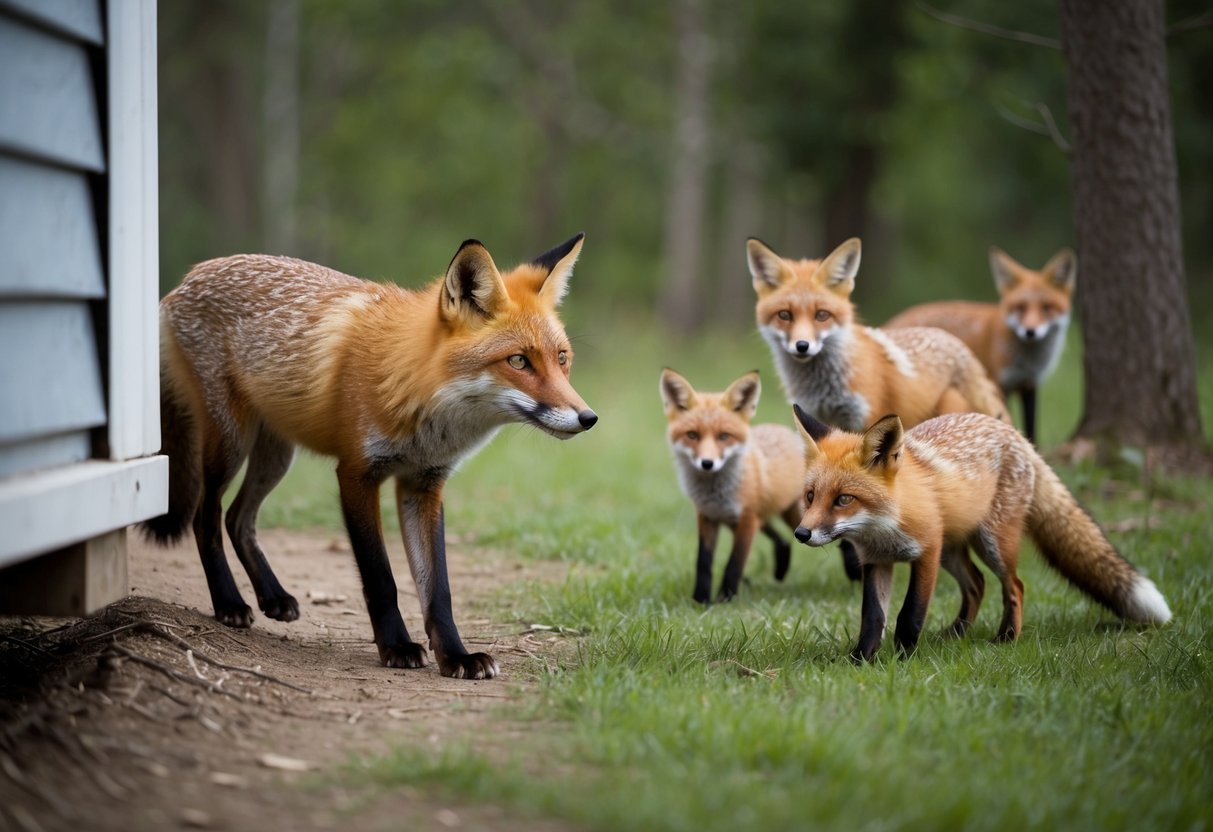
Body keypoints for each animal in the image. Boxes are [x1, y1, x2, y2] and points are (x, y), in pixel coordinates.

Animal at [142, 234, 597, 680]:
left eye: (561, 359)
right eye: (518, 360)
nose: (588, 418)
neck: (416, 390)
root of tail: (190, 276)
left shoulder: (424, 484)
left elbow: (438, 590)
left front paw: (456, 656)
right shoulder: (357, 474)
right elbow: (381, 577)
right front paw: (396, 647)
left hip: (277, 455)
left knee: (239, 518)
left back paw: (272, 596)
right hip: (230, 444)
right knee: (207, 516)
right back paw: (229, 603)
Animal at [660, 369, 805, 603]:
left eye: (724, 436)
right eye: (692, 435)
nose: (707, 463)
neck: (714, 495)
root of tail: (787, 431)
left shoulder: (747, 520)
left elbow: (734, 563)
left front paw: (725, 598)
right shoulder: (708, 517)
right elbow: (703, 562)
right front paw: (700, 599)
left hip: (799, 517)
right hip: (750, 519)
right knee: (782, 540)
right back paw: (781, 569)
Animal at [748, 236, 1010, 582]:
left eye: (821, 315)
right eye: (785, 315)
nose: (802, 346)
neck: (826, 384)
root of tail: (959, 347)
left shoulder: (866, 423)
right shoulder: (823, 427)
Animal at [790, 405, 1171, 662]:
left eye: (843, 499)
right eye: (810, 496)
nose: (801, 533)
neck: (882, 527)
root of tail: (1017, 435)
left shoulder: (926, 553)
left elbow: (910, 614)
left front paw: (903, 660)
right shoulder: (876, 562)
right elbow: (873, 617)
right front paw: (862, 661)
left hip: (992, 544)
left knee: (1014, 585)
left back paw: (1006, 638)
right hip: (954, 551)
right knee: (977, 584)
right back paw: (956, 635)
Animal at [885, 247, 1077, 444]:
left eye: (1047, 307)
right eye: (1020, 307)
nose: (1030, 331)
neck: (1027, 359)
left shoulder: (1030, 384)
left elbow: (1032, 428)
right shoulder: (999, 384)